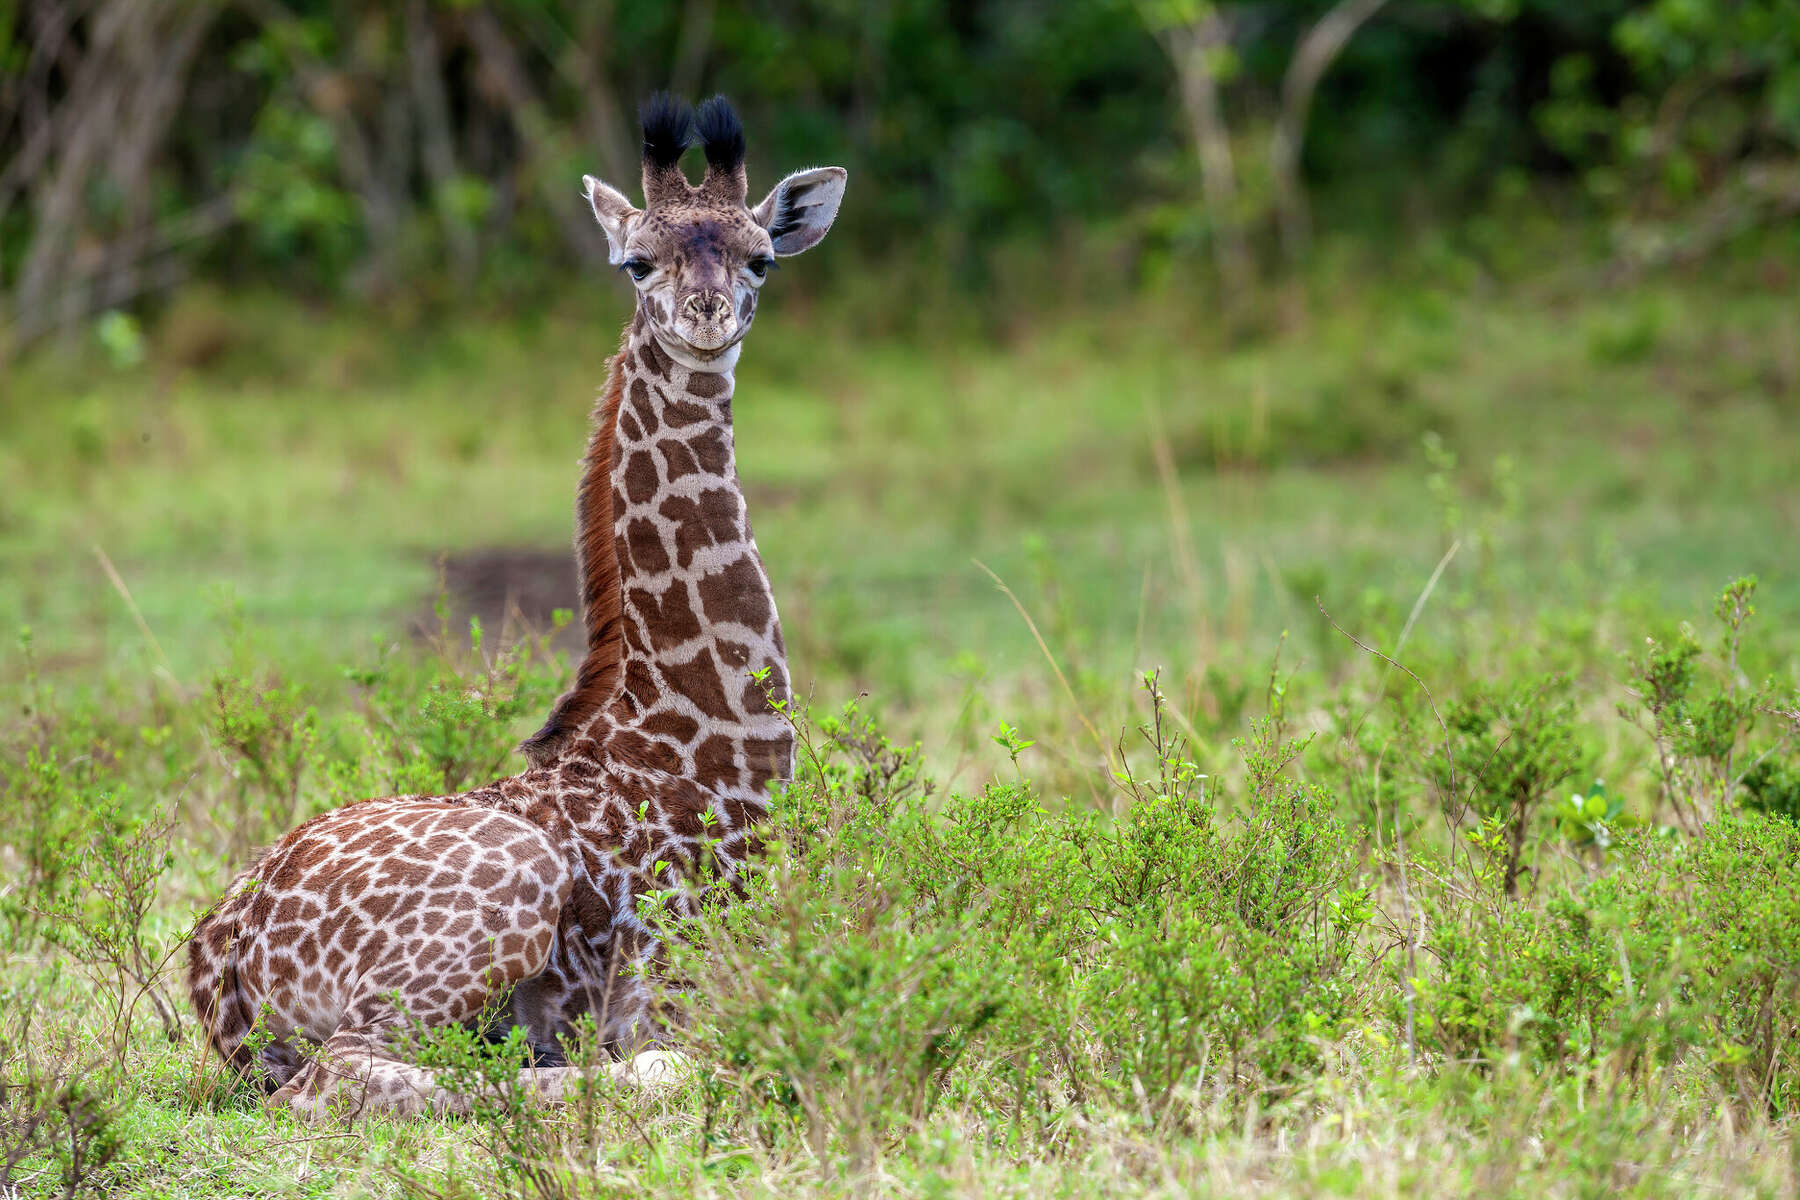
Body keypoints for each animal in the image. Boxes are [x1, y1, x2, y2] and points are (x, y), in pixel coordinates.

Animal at [185, 94, 847, 1119]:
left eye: (759, 258)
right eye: (636, 261)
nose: (705, 320)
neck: (700, 747)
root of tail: (221, 966)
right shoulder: (682, 986)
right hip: (498, 910)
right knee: (356, 1079)